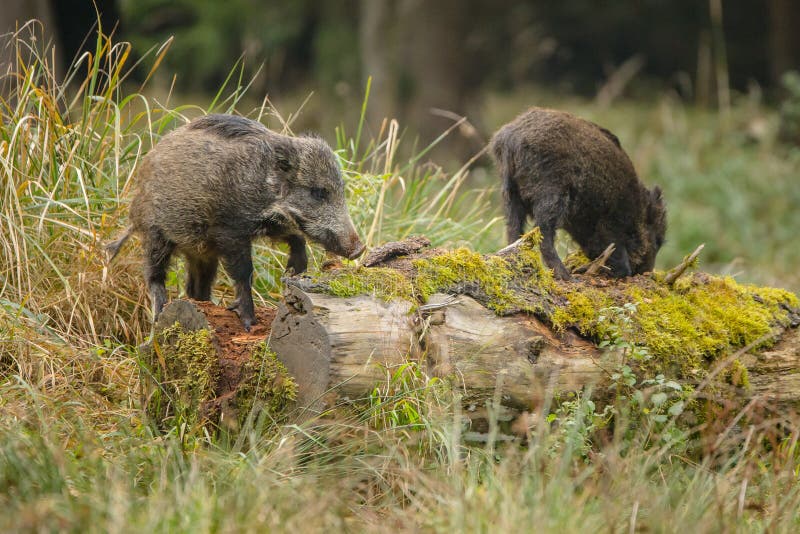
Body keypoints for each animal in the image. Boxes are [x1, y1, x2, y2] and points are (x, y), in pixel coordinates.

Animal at [107, 114, 365, 330]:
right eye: (318, 192)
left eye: (341, 188)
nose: (359, 249)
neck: (262, 184)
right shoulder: (229, 231)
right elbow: (244, 273)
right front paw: (249, 323)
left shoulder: (270, 225)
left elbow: (296, 238)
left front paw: (295, 270)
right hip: (156, 235)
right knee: (154, 275)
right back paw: (160, 313)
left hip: (201, 252)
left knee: (196, 286)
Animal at [489, 107, 666, 280]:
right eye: (657, 240)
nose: (646, 272)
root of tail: (511, 137)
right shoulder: (611, 222)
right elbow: (615, 249)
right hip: (551, 193)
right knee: (543, 233)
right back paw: (566, 276)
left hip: (510, 193)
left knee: (513, 229)